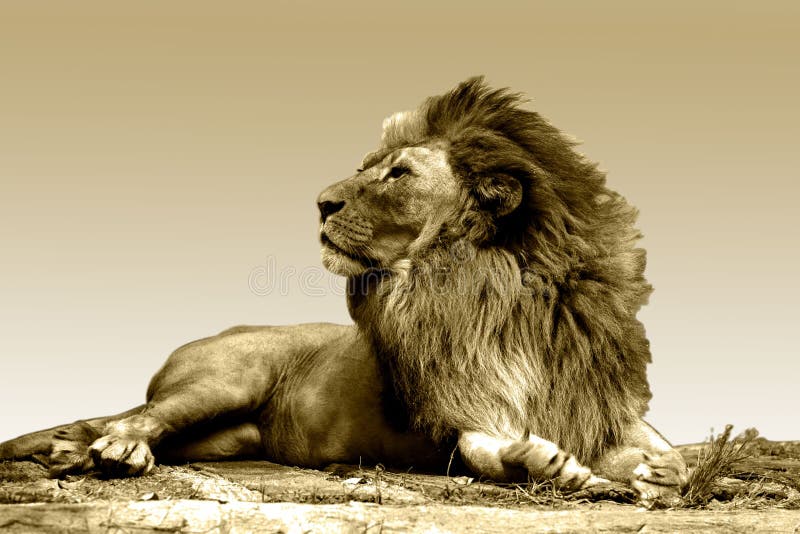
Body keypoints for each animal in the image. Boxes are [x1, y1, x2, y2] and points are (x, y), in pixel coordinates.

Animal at [0, 77, 687, 502]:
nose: (321, 202)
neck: (494, 288)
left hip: (230, 435)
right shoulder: (455, 413)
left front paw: (654, 469)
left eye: (398, 173)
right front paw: (545, 462)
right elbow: (488, 450)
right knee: (137, 417)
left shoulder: (592, 402)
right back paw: (117, 451)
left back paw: (81, 451)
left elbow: (663, 455)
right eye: (364, 169)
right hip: (225, 379)